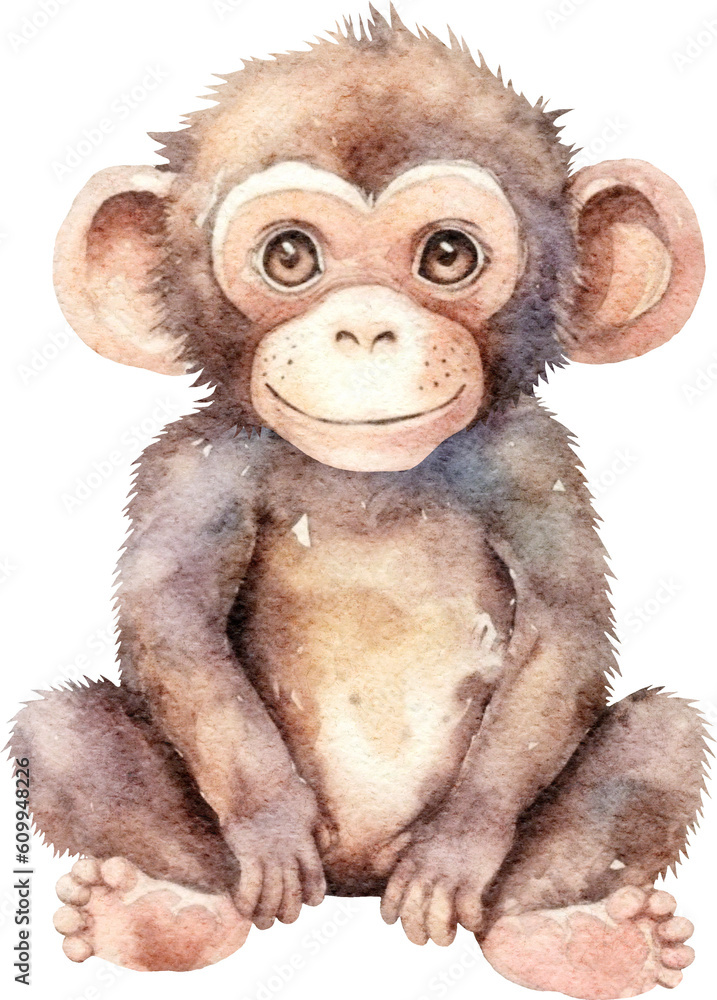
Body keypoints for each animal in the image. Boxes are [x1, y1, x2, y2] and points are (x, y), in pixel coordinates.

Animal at [11, 9, 709, 997]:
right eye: (290, 256)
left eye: (446, 255)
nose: (367, 328)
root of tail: (357, 882)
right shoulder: (194, 467)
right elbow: (173, 620)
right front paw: (268, 823)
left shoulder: (533, 461)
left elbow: (562, 629)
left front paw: (458, 851)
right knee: (63, 732)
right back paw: (161, 915)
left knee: (660, 740)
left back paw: (569, 939)